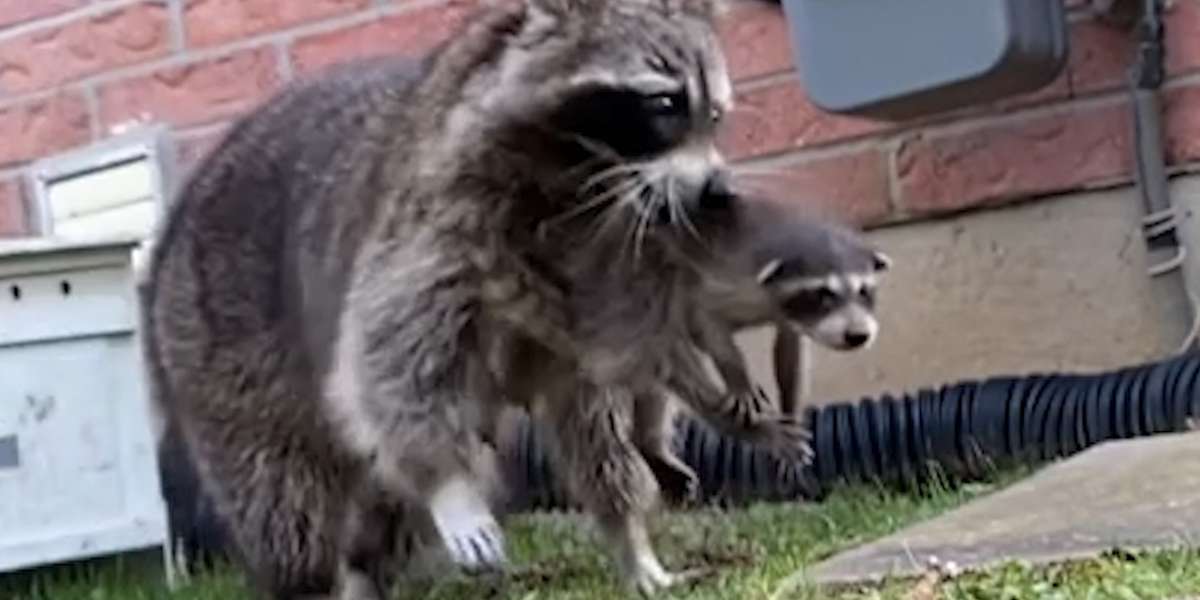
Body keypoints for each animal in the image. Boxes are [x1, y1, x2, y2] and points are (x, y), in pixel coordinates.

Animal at [141, 0, 781, 597]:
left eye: (715, 114)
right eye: (666, 105)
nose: (719, 191)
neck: (581, 176)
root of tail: (175, 226)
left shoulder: (600, 288)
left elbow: (605, 414)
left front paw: (630, 527)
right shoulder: (437, 230)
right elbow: (389, 364)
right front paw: (452, 488)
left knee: (387, 507)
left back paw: (367, 571)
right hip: (219, 346)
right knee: (284, 498)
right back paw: (309, 576)